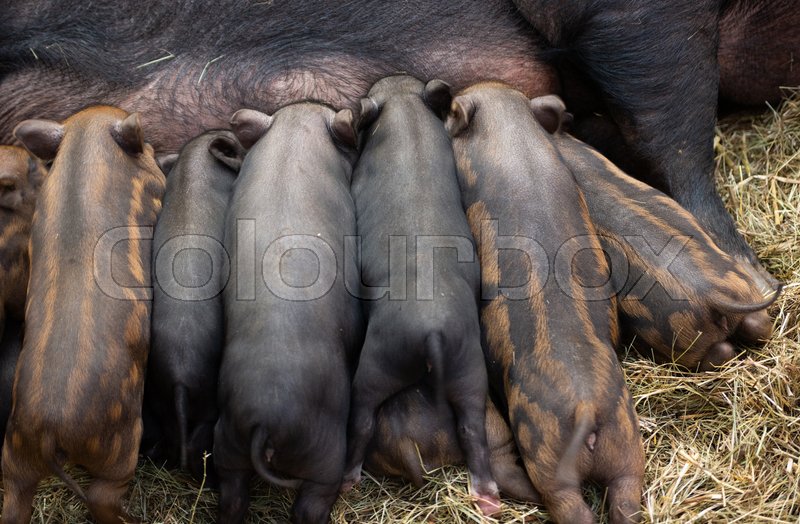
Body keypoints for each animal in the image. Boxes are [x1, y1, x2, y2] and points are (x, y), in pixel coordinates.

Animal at [2, 106, 166, 524]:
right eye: (147, 145)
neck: (85, 149)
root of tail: (48, 434)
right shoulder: (155, 182)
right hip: (118, 446)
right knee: (102, 496)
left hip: (15, 450)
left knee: (14, 496)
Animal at [214, 103, 363, 524]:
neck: (293, 136)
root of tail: (265, 421)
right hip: (324, 450)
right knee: (312, 502)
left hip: (227, 440)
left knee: (231, 494)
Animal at [342, 75, 500, 515]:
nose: (392, 75)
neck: (406, 115)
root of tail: (433, 335)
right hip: (469, 367)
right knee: (473, 428)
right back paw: (488, 501)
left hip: (380, 361)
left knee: (362, 416)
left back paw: (348, 481)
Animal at [446, 83, 645, 524]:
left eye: (451, 113)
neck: (514, 141)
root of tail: (586, 405)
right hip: (625, 439)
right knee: (626, 495)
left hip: (546, 450)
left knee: (566, 503)